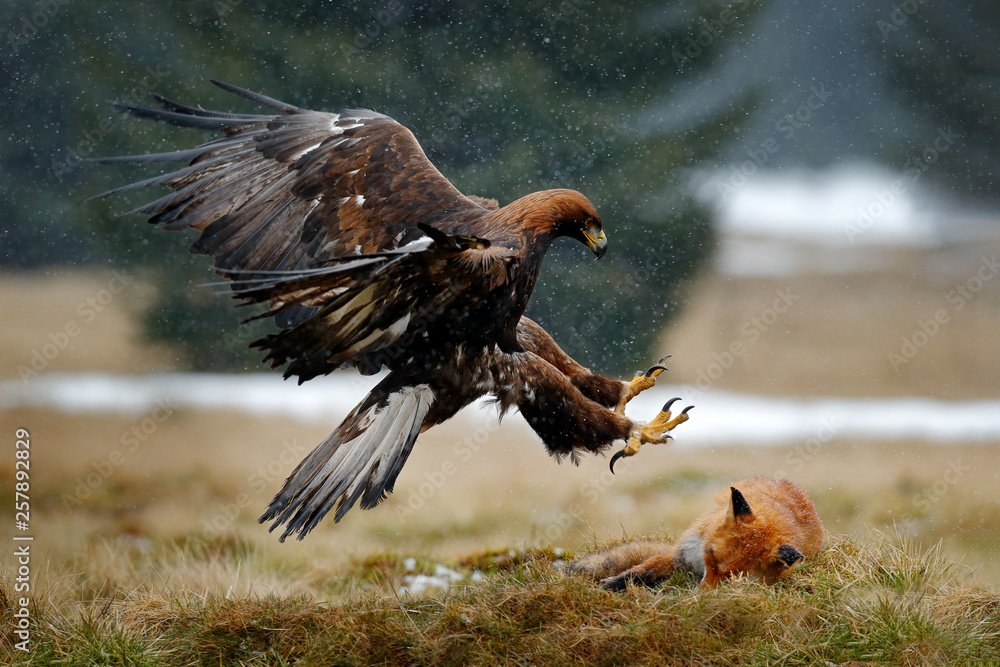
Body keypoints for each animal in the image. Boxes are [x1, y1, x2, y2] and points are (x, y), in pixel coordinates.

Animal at [567, 477, 823, 591]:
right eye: (712, 559)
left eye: (734, 579)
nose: (700, 595)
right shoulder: (683, 553)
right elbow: (642, 570)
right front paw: (613, 583)